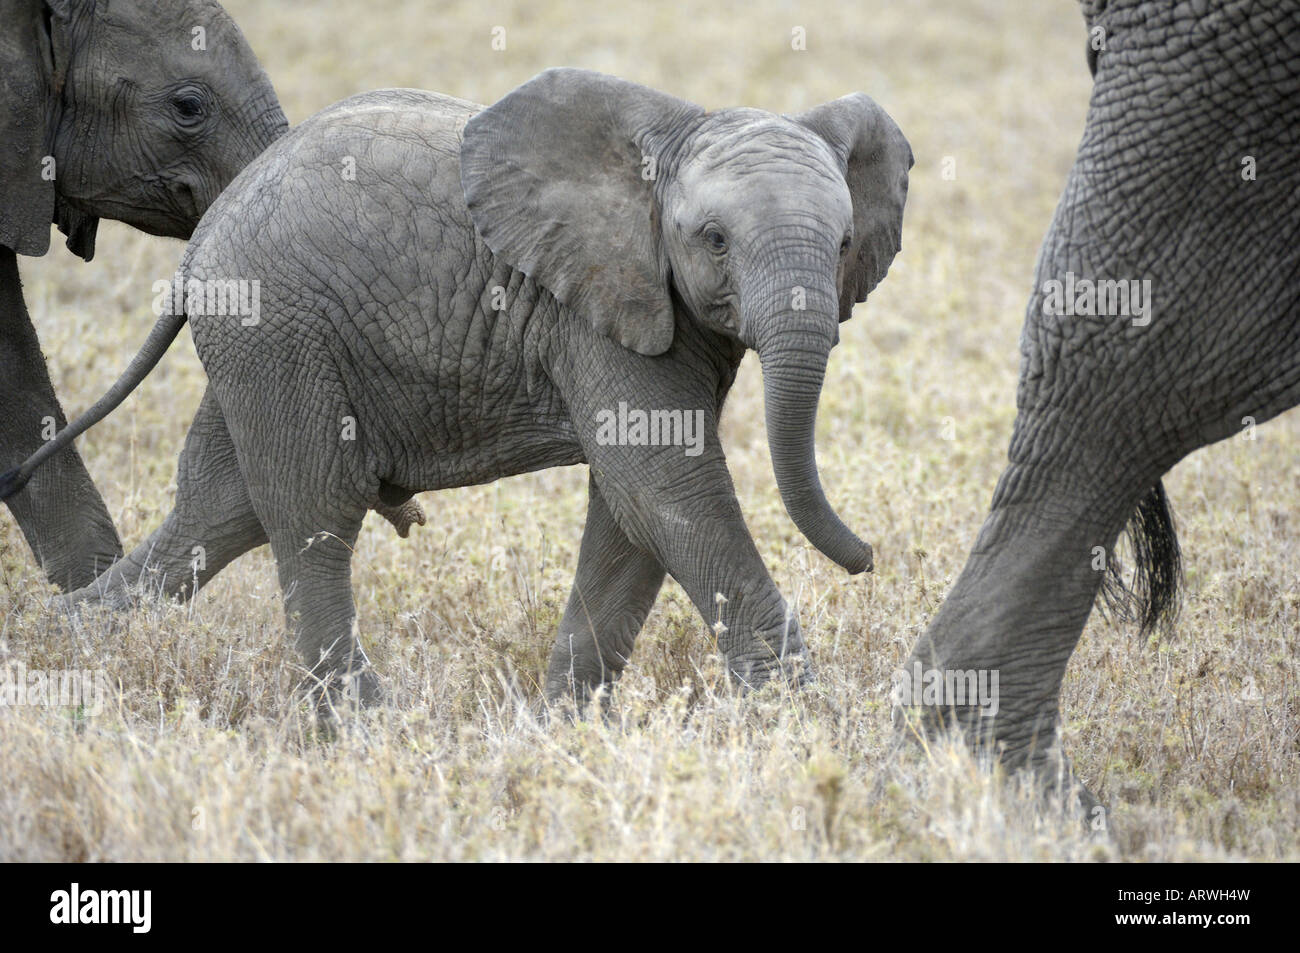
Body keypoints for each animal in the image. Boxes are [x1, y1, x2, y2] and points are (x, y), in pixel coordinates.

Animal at [3, 69, 913, 705]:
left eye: (842, 245)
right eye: (715, 239)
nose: (870, 557)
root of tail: (201, 244)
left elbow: (631, 514)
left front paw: (558, 727)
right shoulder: (596, 305)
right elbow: (665, 487)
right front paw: (803, 725)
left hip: (263, 340)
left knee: (219, 510)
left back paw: (55, 645)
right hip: (277, 324)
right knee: (311, 512)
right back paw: (361, 725)